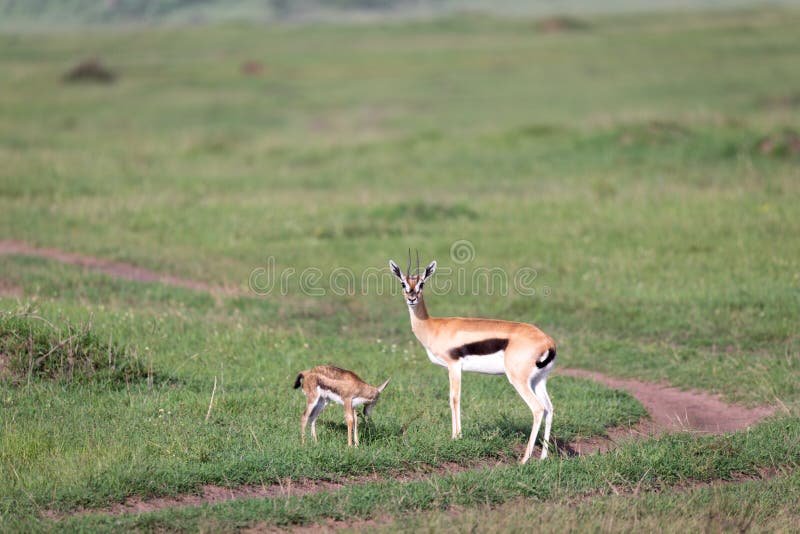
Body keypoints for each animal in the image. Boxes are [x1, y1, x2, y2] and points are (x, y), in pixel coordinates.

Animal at [389, 252, 556, 463]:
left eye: (422, 283)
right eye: (403, 283)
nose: (412, 298)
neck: (433, 326)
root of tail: (547, 342)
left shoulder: (453, 365)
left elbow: (454, 398)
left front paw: (456, 437)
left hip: (519, 380)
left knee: (538, 409)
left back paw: (524, 459)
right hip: (539, 381)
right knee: (549, 408)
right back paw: (543, 457)